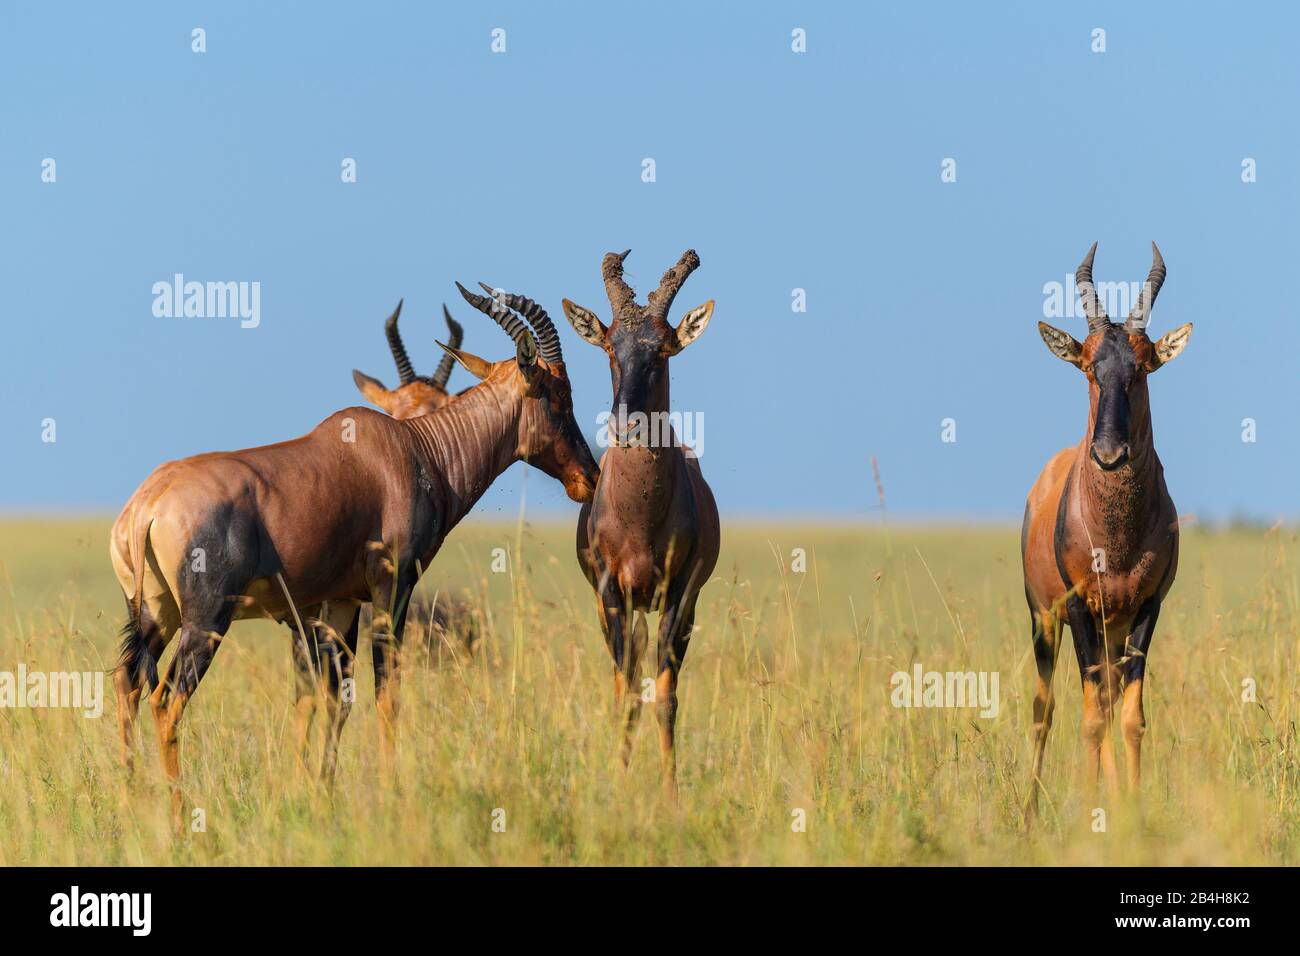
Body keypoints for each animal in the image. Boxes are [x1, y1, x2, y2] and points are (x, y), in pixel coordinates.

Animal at [111, 287, 598, 821]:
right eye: (558, 394)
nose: (590, 478)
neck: (412, 448)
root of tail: (149, 505)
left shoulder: (340, 603)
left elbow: (336, 698)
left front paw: (321, 792)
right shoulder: (392, 587)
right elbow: (388, 692)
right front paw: (389, 791)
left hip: (155, 613)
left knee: (126, 683)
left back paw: (127, 800)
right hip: (206, 620)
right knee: (165, 700)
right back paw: (179, 817)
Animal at [560, 249, 720, 790]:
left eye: (663, 350)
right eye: (611, 346)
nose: (625, 427)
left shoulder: (678, 593)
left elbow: (666, 699)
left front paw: (670, 794)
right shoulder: (610, 593)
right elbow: (625, 697)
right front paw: (620, 785)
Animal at [1022, 242, 1192, 823]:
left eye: (1141, 369)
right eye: (1089, 369)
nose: (1110, 454)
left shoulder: (1147, 608)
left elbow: (1131, 718)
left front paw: (1130, 812)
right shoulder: (1077, 607)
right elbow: (1089, 716)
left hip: (1112, 626)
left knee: (1111, 697)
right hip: (1046, 620)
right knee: (1048, 707)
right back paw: (1029, 813)